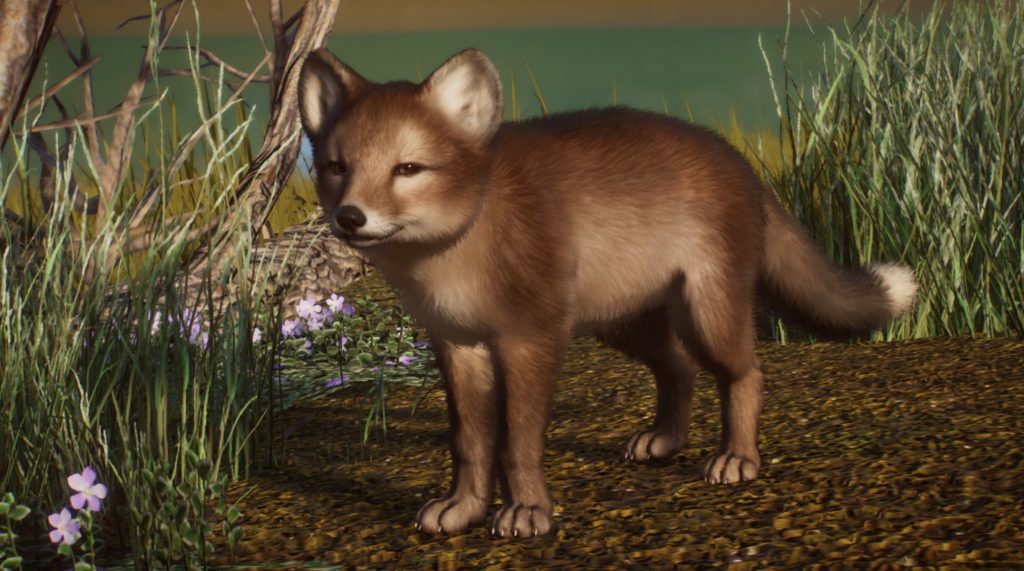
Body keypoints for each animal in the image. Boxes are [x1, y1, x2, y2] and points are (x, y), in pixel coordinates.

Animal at [297, 48, 917, 538]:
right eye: (336, 167)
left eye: (408, 168)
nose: (349, 217)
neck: (462, 251)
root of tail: (737, 159)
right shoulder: (458, 345)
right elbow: (470, 442)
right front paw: (464, 510)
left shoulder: (531, 339)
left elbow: (516, 443)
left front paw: (526, 512)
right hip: (624, 325)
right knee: (679, 369)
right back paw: (664, 440)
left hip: (706, 314)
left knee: (746, 373)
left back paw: (737, 458)